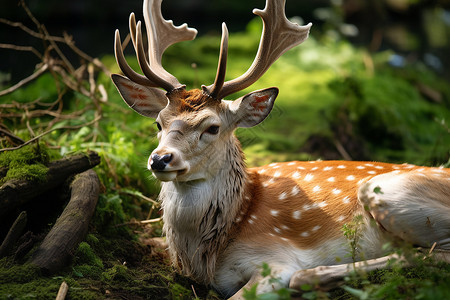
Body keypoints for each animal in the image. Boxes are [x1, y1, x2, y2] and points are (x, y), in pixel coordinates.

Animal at [110, 0, 450, 296]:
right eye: (159, 123)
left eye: (212, 127)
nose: (160, 159)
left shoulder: (274, 259)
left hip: (391, 195)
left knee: (434, 253)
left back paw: (316, 275)